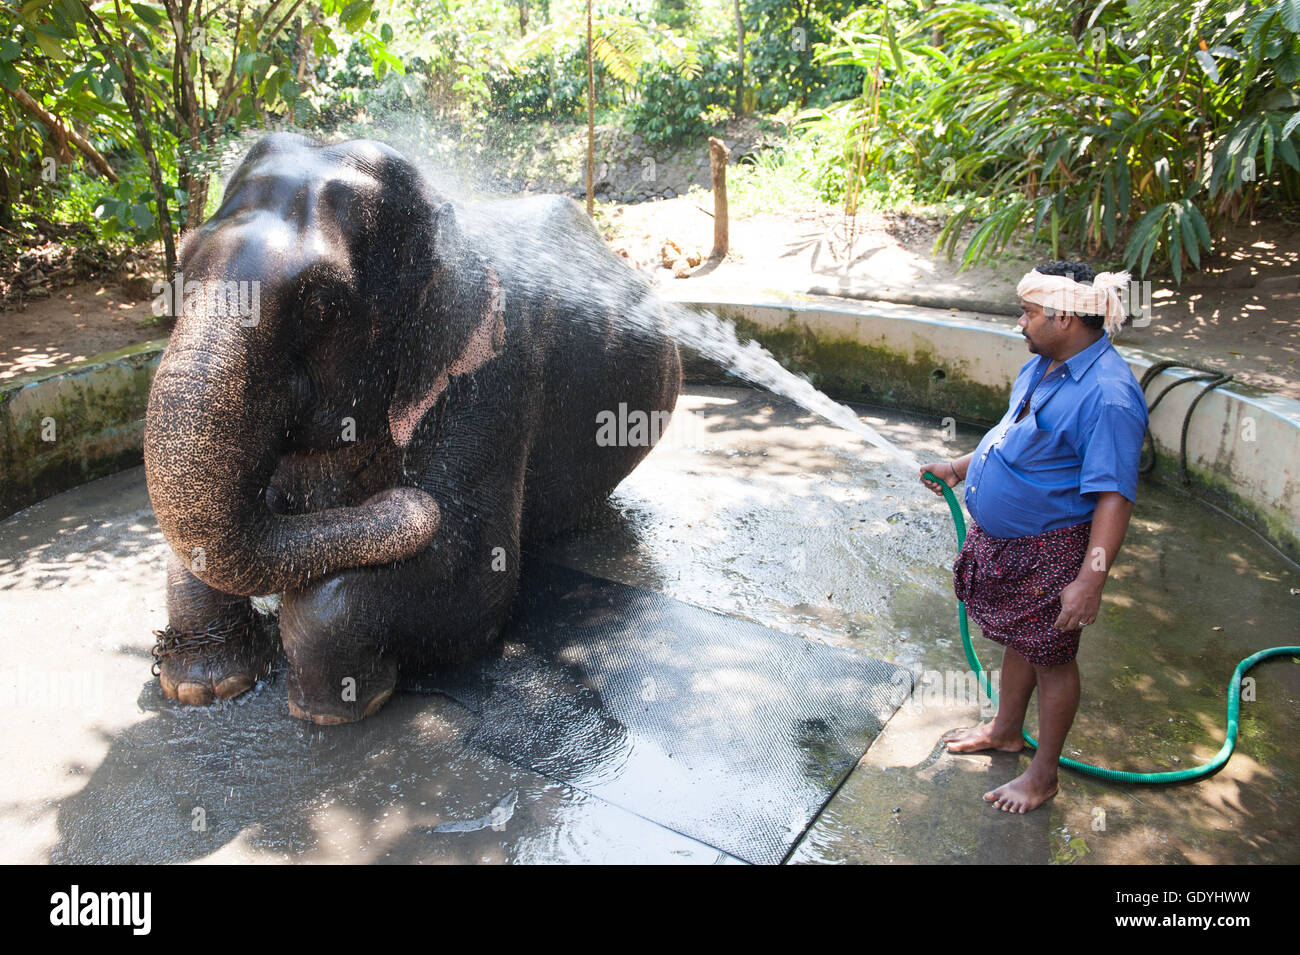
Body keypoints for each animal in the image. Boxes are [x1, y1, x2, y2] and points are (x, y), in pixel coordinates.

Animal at [144, 133, 682, 724]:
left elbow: (474, 570)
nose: (399, 500)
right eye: (182, 268)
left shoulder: (494, 365)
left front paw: (335, 708)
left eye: (321, 304)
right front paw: (204, 686)